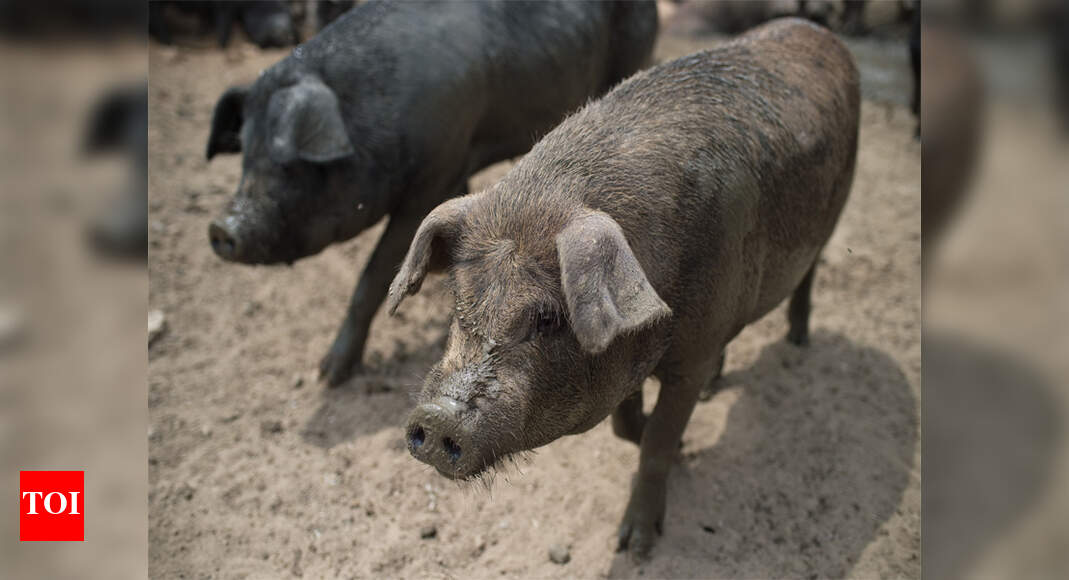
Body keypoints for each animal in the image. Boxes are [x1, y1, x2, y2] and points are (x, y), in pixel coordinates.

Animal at [205, 0, 659, 386]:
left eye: (289, 164)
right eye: (245, 153)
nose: (221, 228)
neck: (374, 114)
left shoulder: (430, 177)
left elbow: (373, 274)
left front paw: (327, 375)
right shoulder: (453, 168)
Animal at [388, 18, 859, 558]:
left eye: (548, 317)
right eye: (459, 298)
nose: (436, 417)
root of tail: (820, 32)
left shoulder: (689, 360)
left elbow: (657, 442)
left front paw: (634, 545)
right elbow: (623, 422)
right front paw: (672, 446)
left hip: (832, 215)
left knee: (809, 275)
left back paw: (799, 341)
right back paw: (720, 383)